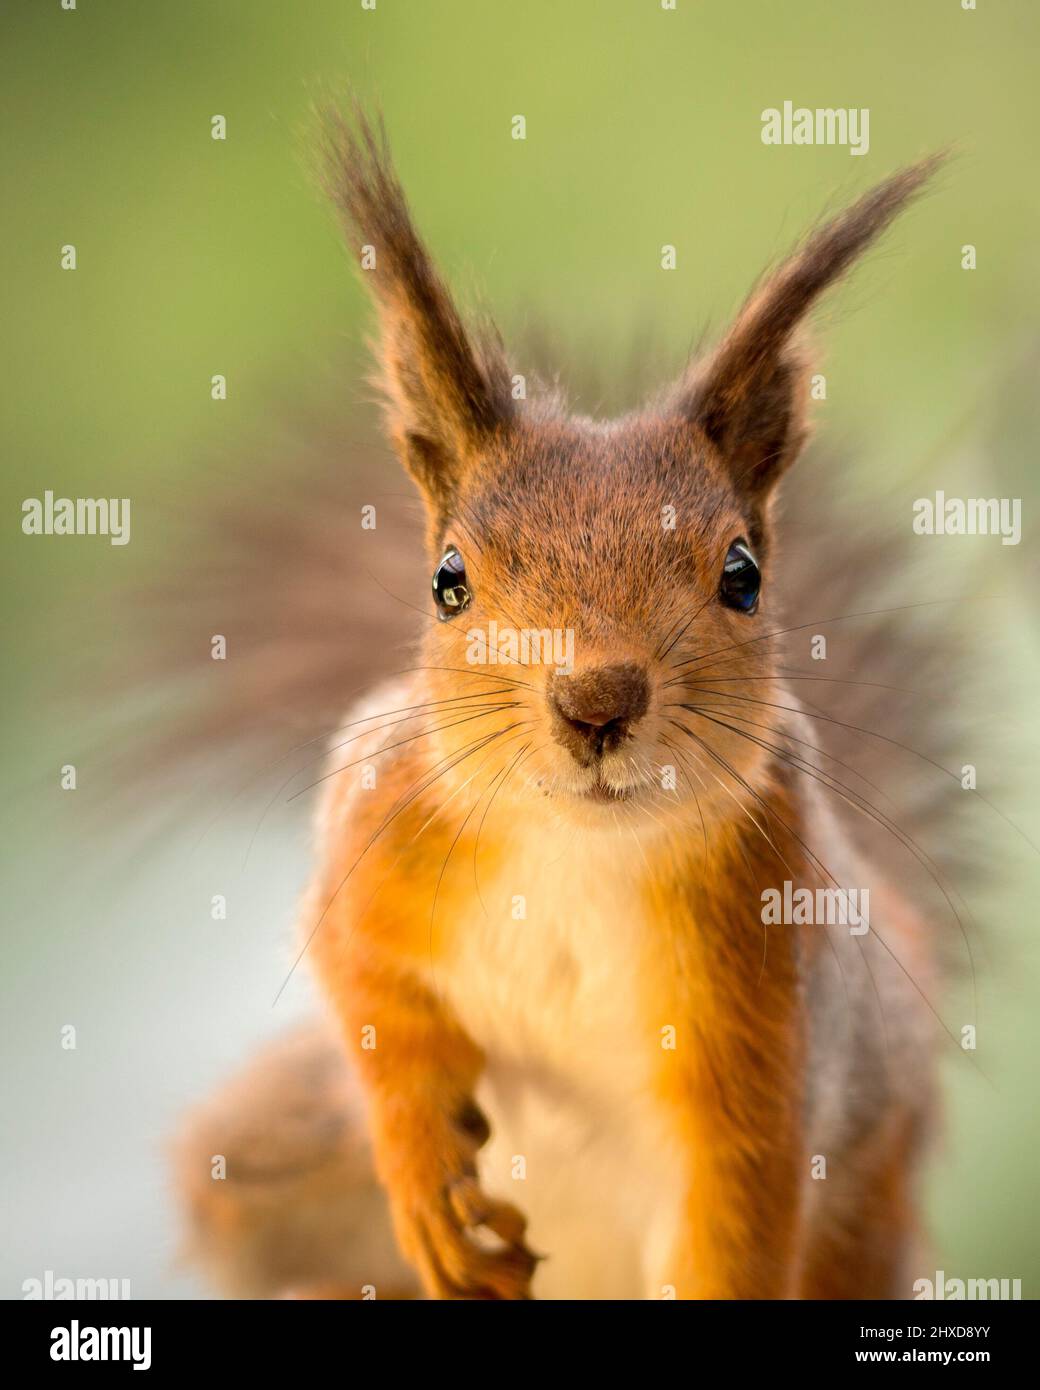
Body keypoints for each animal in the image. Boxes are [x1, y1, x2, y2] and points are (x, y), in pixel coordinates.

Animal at [176, 110, 951, 1300]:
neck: (578, 850)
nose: (596, 700)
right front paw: (429, 1182)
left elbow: (737, 1209)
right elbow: (366, 987)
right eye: (446, 579)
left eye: (742, 576)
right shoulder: (376, 826)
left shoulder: (772, 1011)